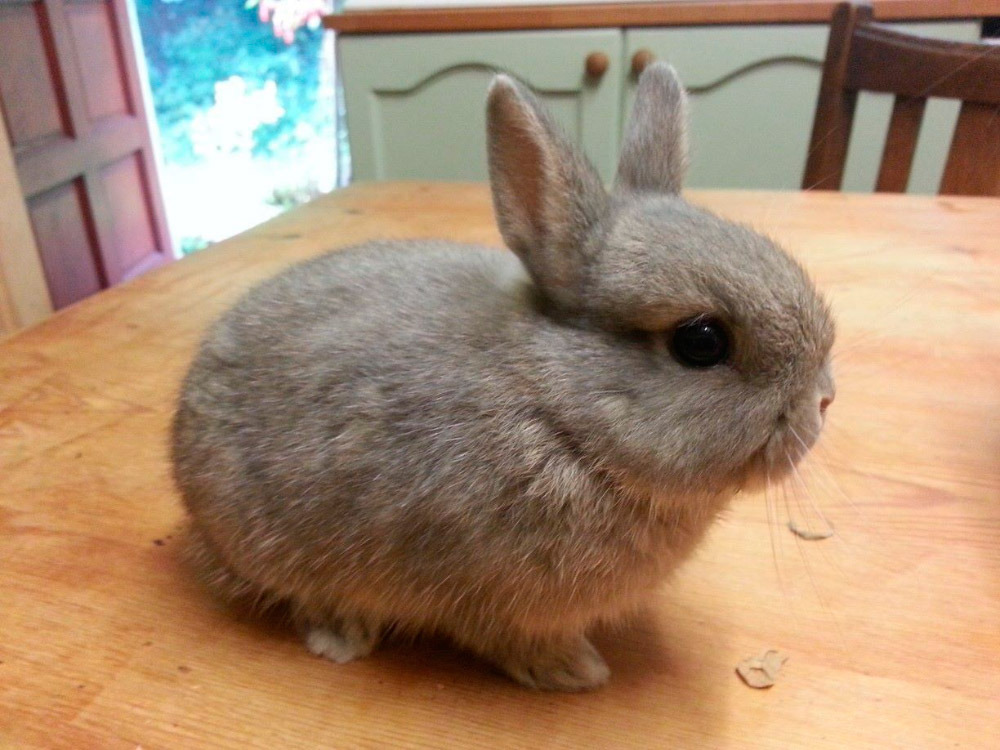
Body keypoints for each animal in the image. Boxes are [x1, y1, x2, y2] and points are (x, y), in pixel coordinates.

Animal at [171, 63, 835, 692]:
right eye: (700, 342)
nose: (823, 400)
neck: (558, 412)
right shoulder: (496, 604)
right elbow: (514, 642)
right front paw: (578, 672)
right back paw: (343, 637)